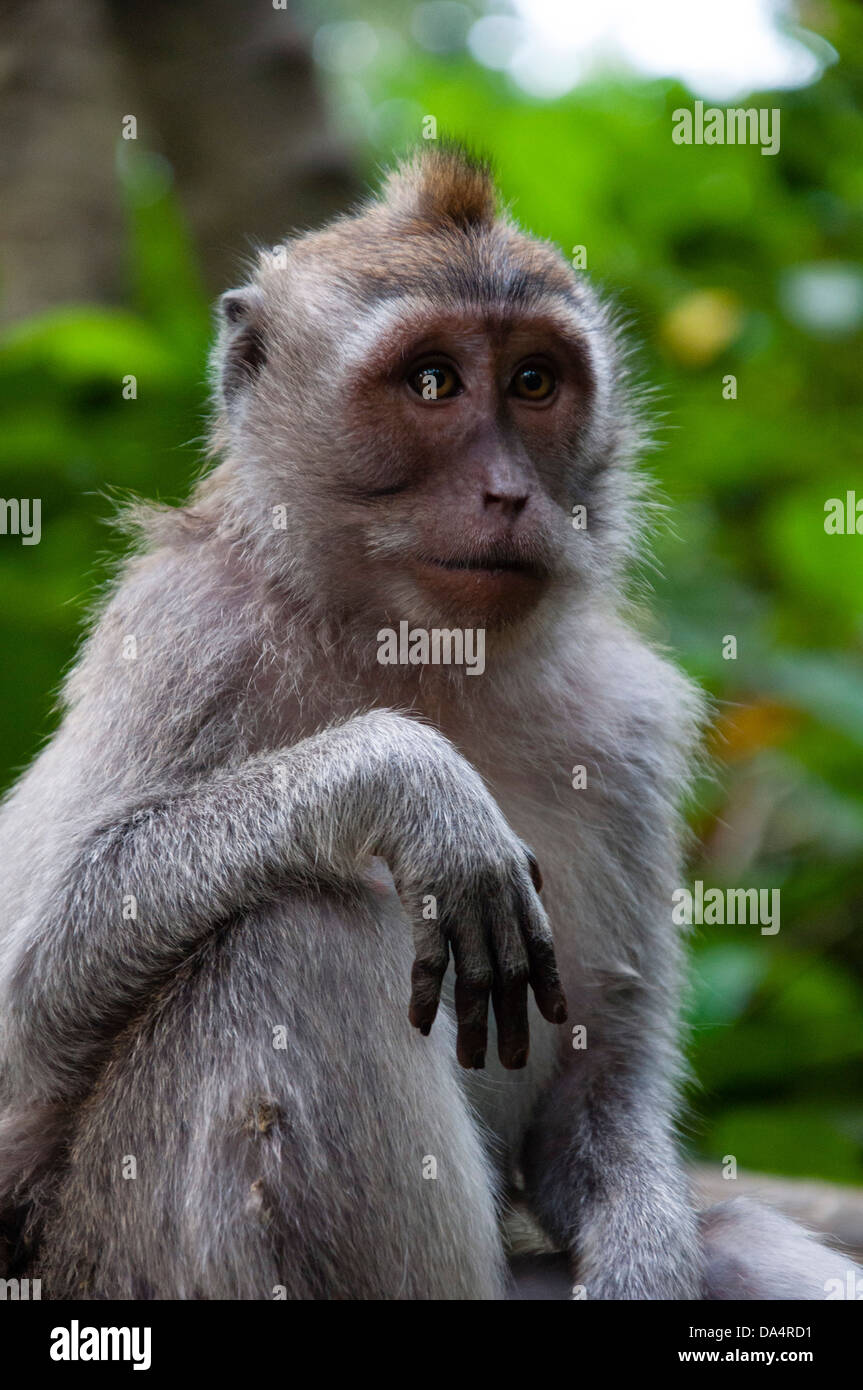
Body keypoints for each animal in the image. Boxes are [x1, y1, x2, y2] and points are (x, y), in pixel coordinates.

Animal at [0, 144, 857, 1300]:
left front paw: (645, 1255)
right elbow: (23, 1004)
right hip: (114, 1259)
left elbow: (595, 1081)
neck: (412, 649)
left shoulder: (625, 726)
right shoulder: (180, 635)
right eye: (431, 383)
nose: (506, 492)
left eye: (533, 382)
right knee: (303, 929)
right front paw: (413, 782)